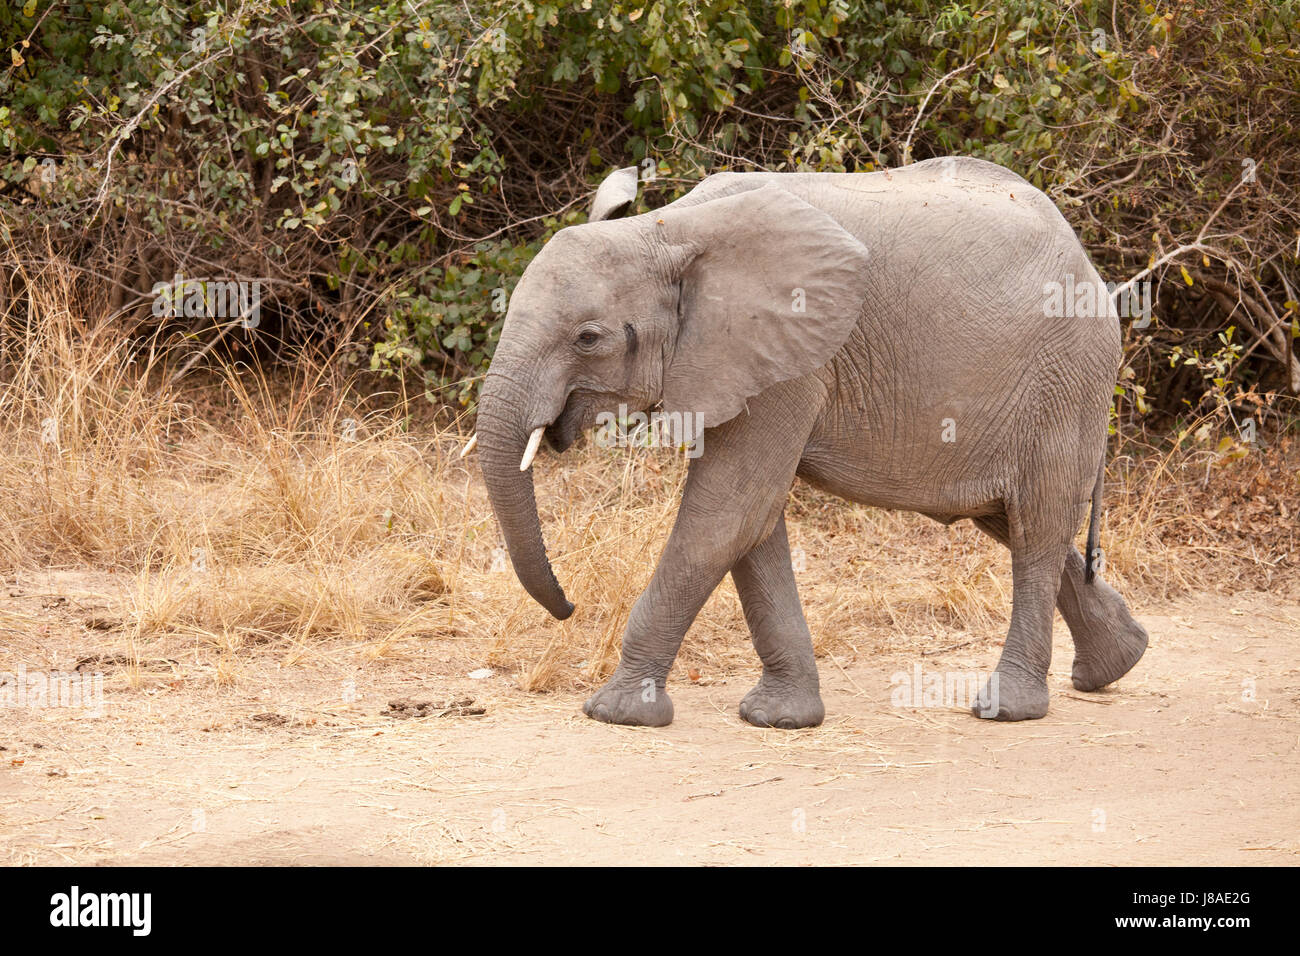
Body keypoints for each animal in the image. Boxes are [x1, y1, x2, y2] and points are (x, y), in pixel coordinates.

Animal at [471, 156, 1149, 729]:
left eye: (587, 338)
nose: (569, 608)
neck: (666, 230)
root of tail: (1091, 268)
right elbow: (753, 523)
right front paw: (780, 719)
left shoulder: (790, 361)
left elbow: (728, 512)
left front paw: (616, 714)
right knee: (1012, 518)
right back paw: (1118, 663)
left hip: (1064, 380)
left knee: (1036, 527)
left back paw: (1008, 709)